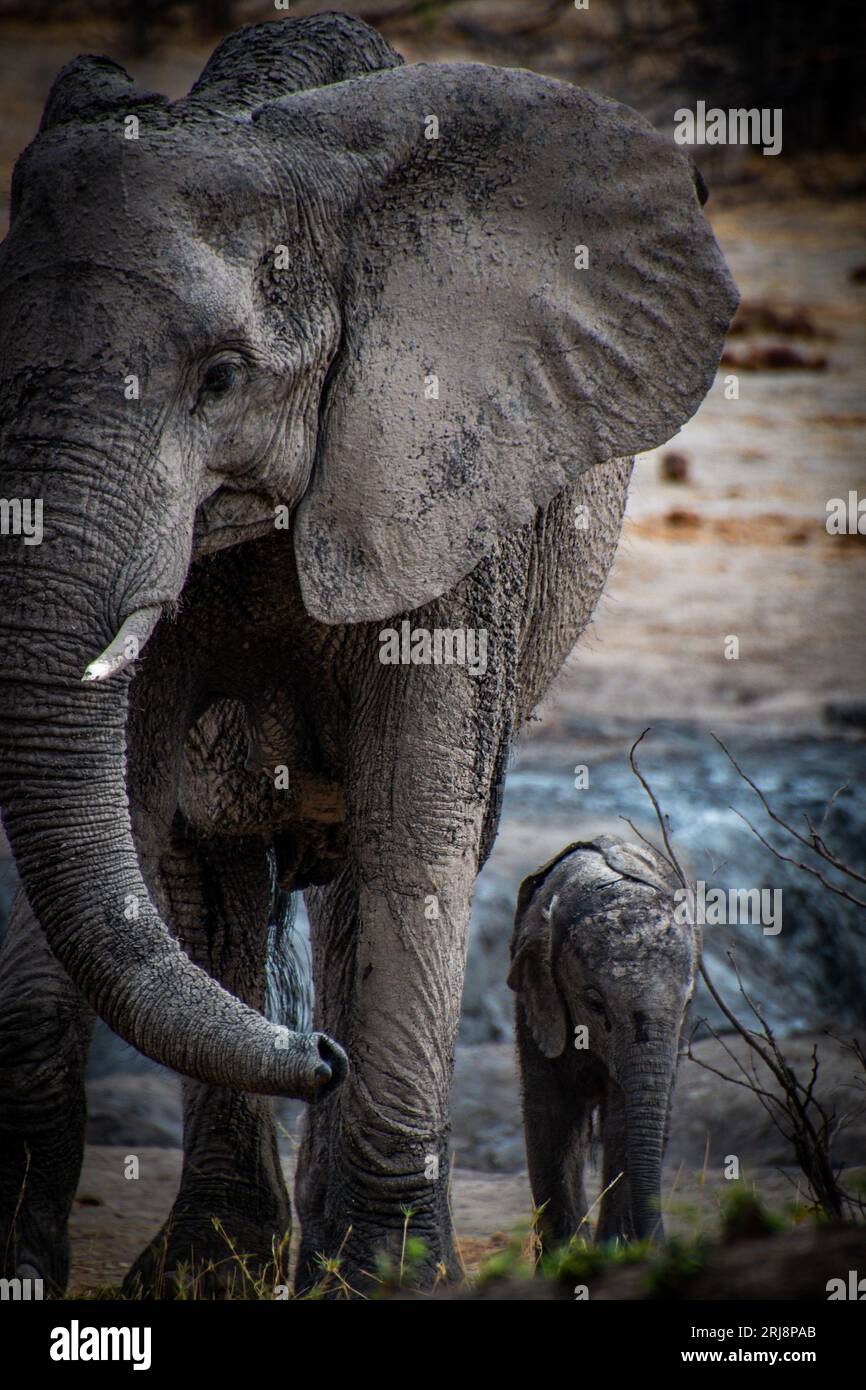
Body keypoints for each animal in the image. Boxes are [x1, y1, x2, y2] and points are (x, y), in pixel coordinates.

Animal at [508, 836, 701, 1250]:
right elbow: (552, 1116)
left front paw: (612, 1252)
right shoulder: (537, 1002)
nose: (660, 1246)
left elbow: (623, 1122)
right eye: (595, 1003)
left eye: (688, 1002)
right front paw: (566, 1256)